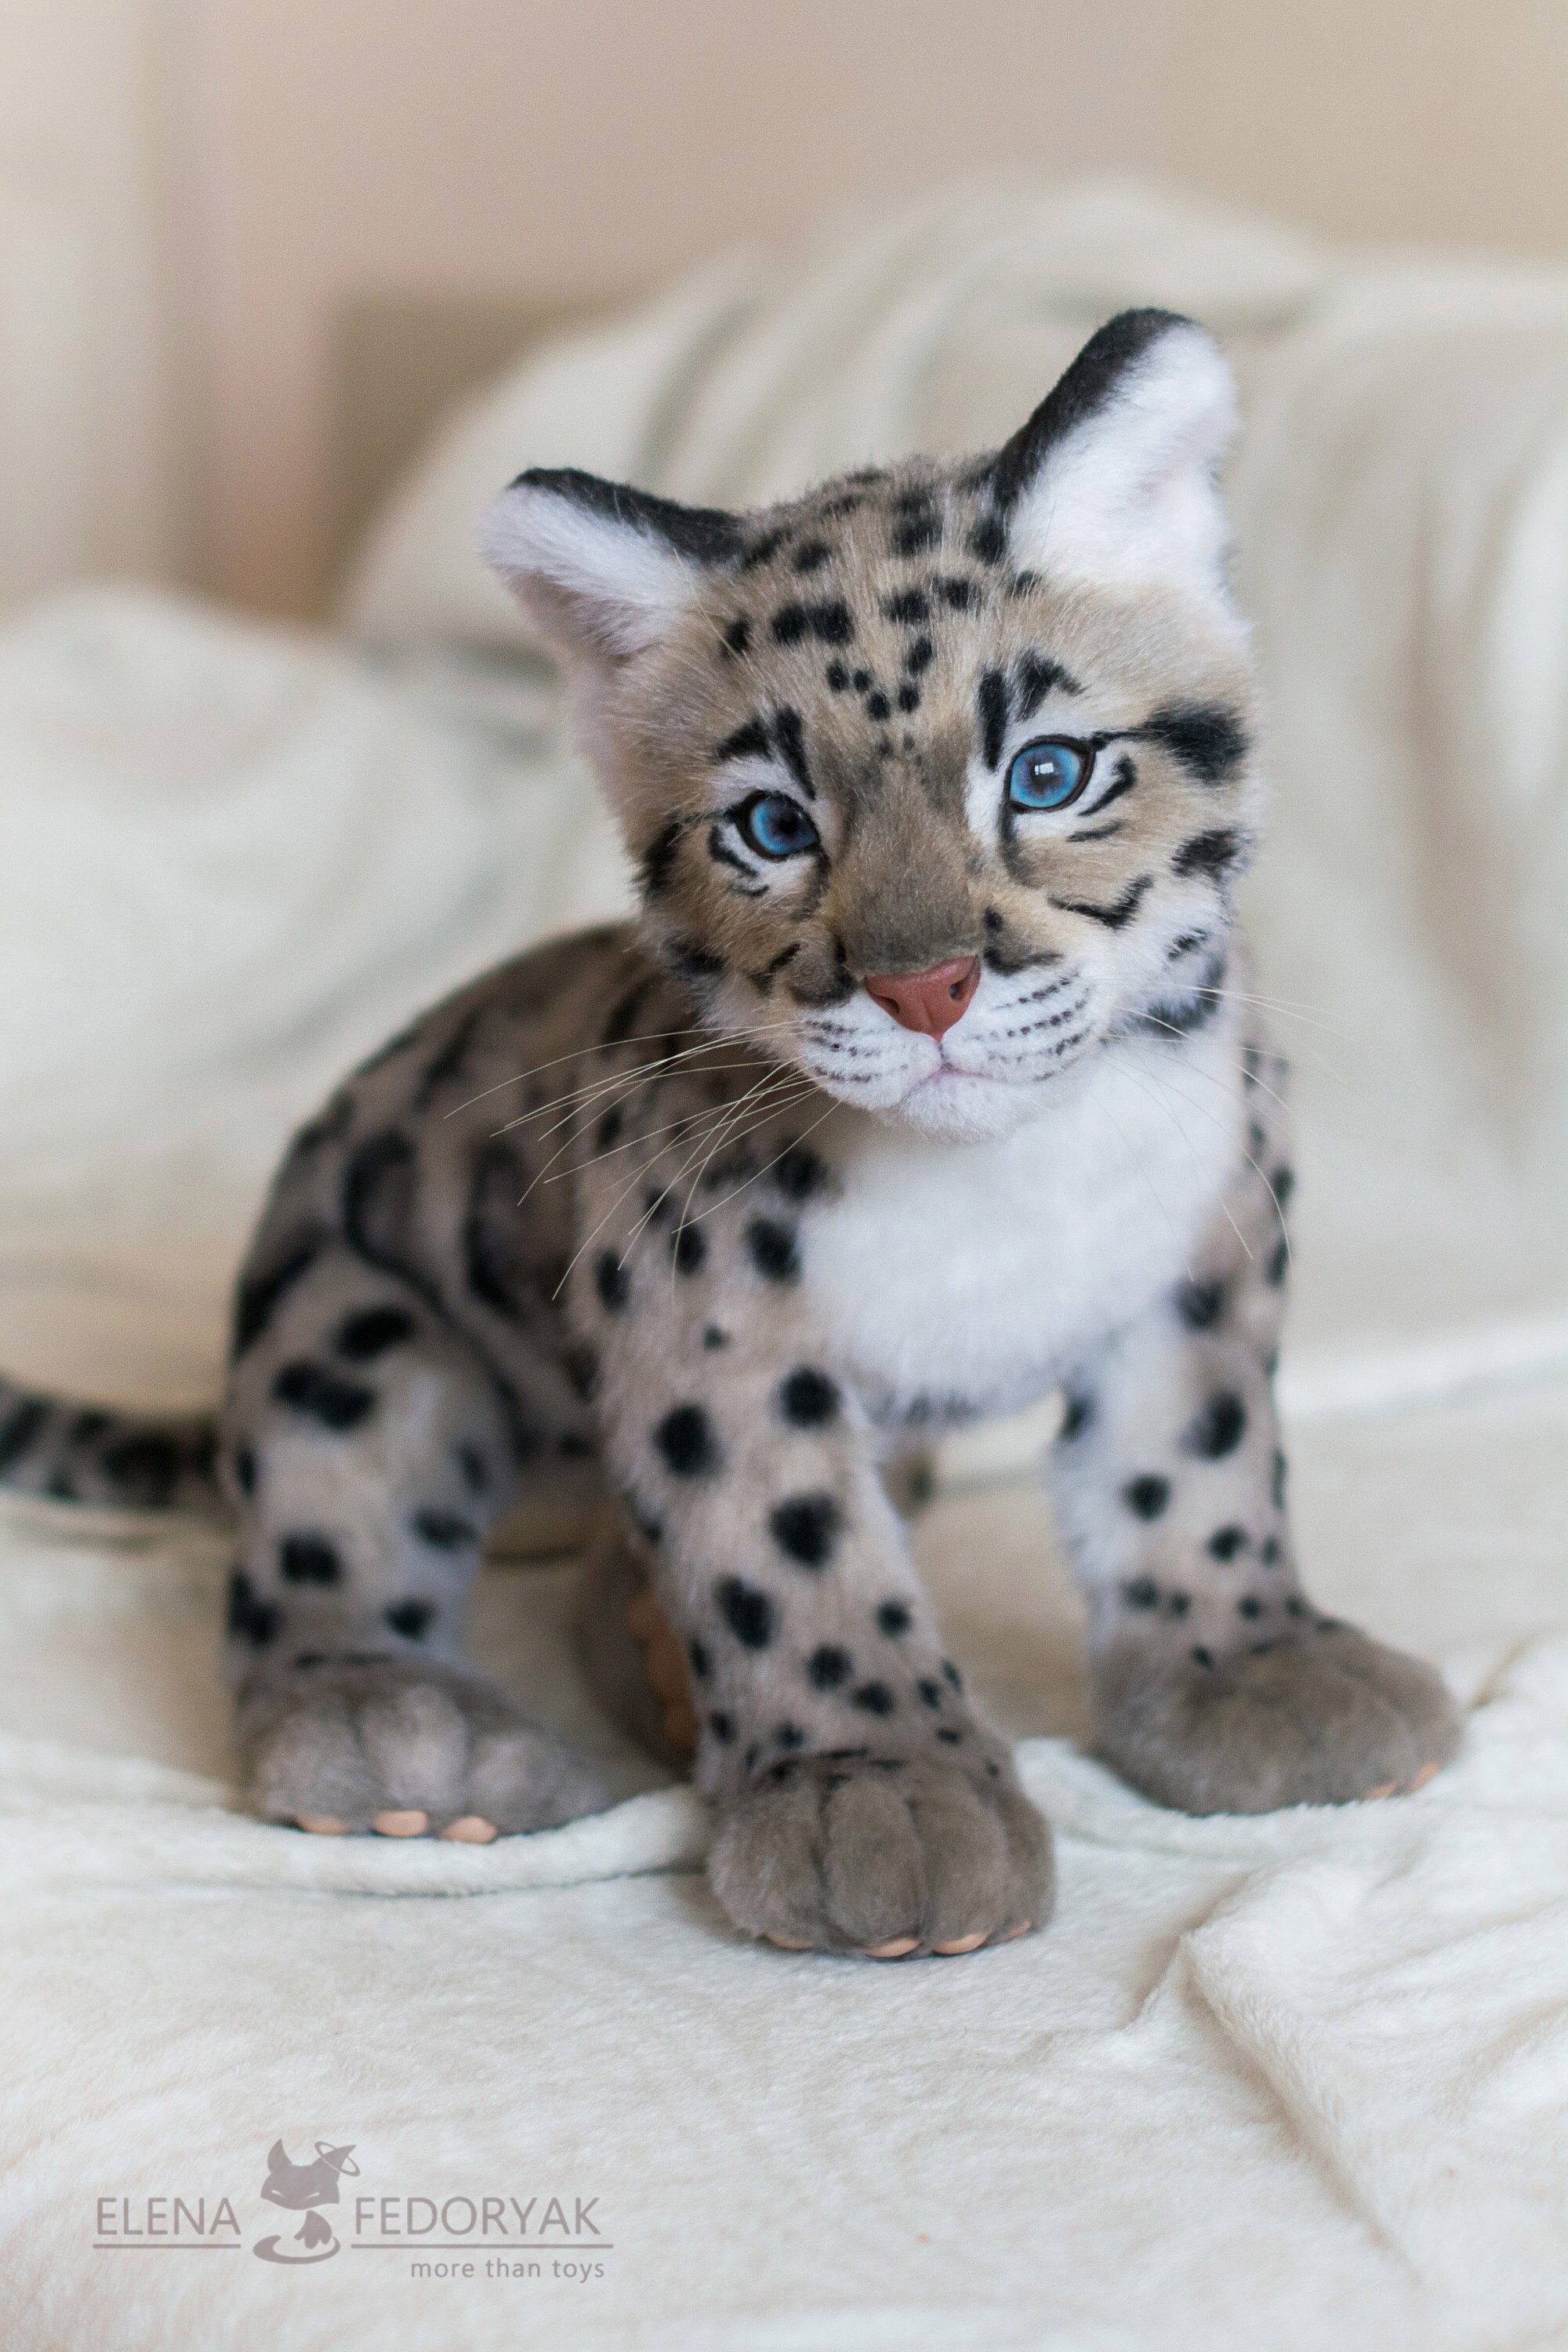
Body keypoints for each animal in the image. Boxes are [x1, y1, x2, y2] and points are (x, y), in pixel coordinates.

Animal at [0, 309, 1460, 1959]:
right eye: (771, 826)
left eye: (1046, 771)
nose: (924, 984)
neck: (1011, 1184)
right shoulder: (703, 1316)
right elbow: (789, 1540)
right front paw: (881, 1794)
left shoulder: (1204, 1266)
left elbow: (1195, 1467)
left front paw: (1252, 1668)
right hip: (348, 1320)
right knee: (321, 1528)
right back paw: (404, 1740)